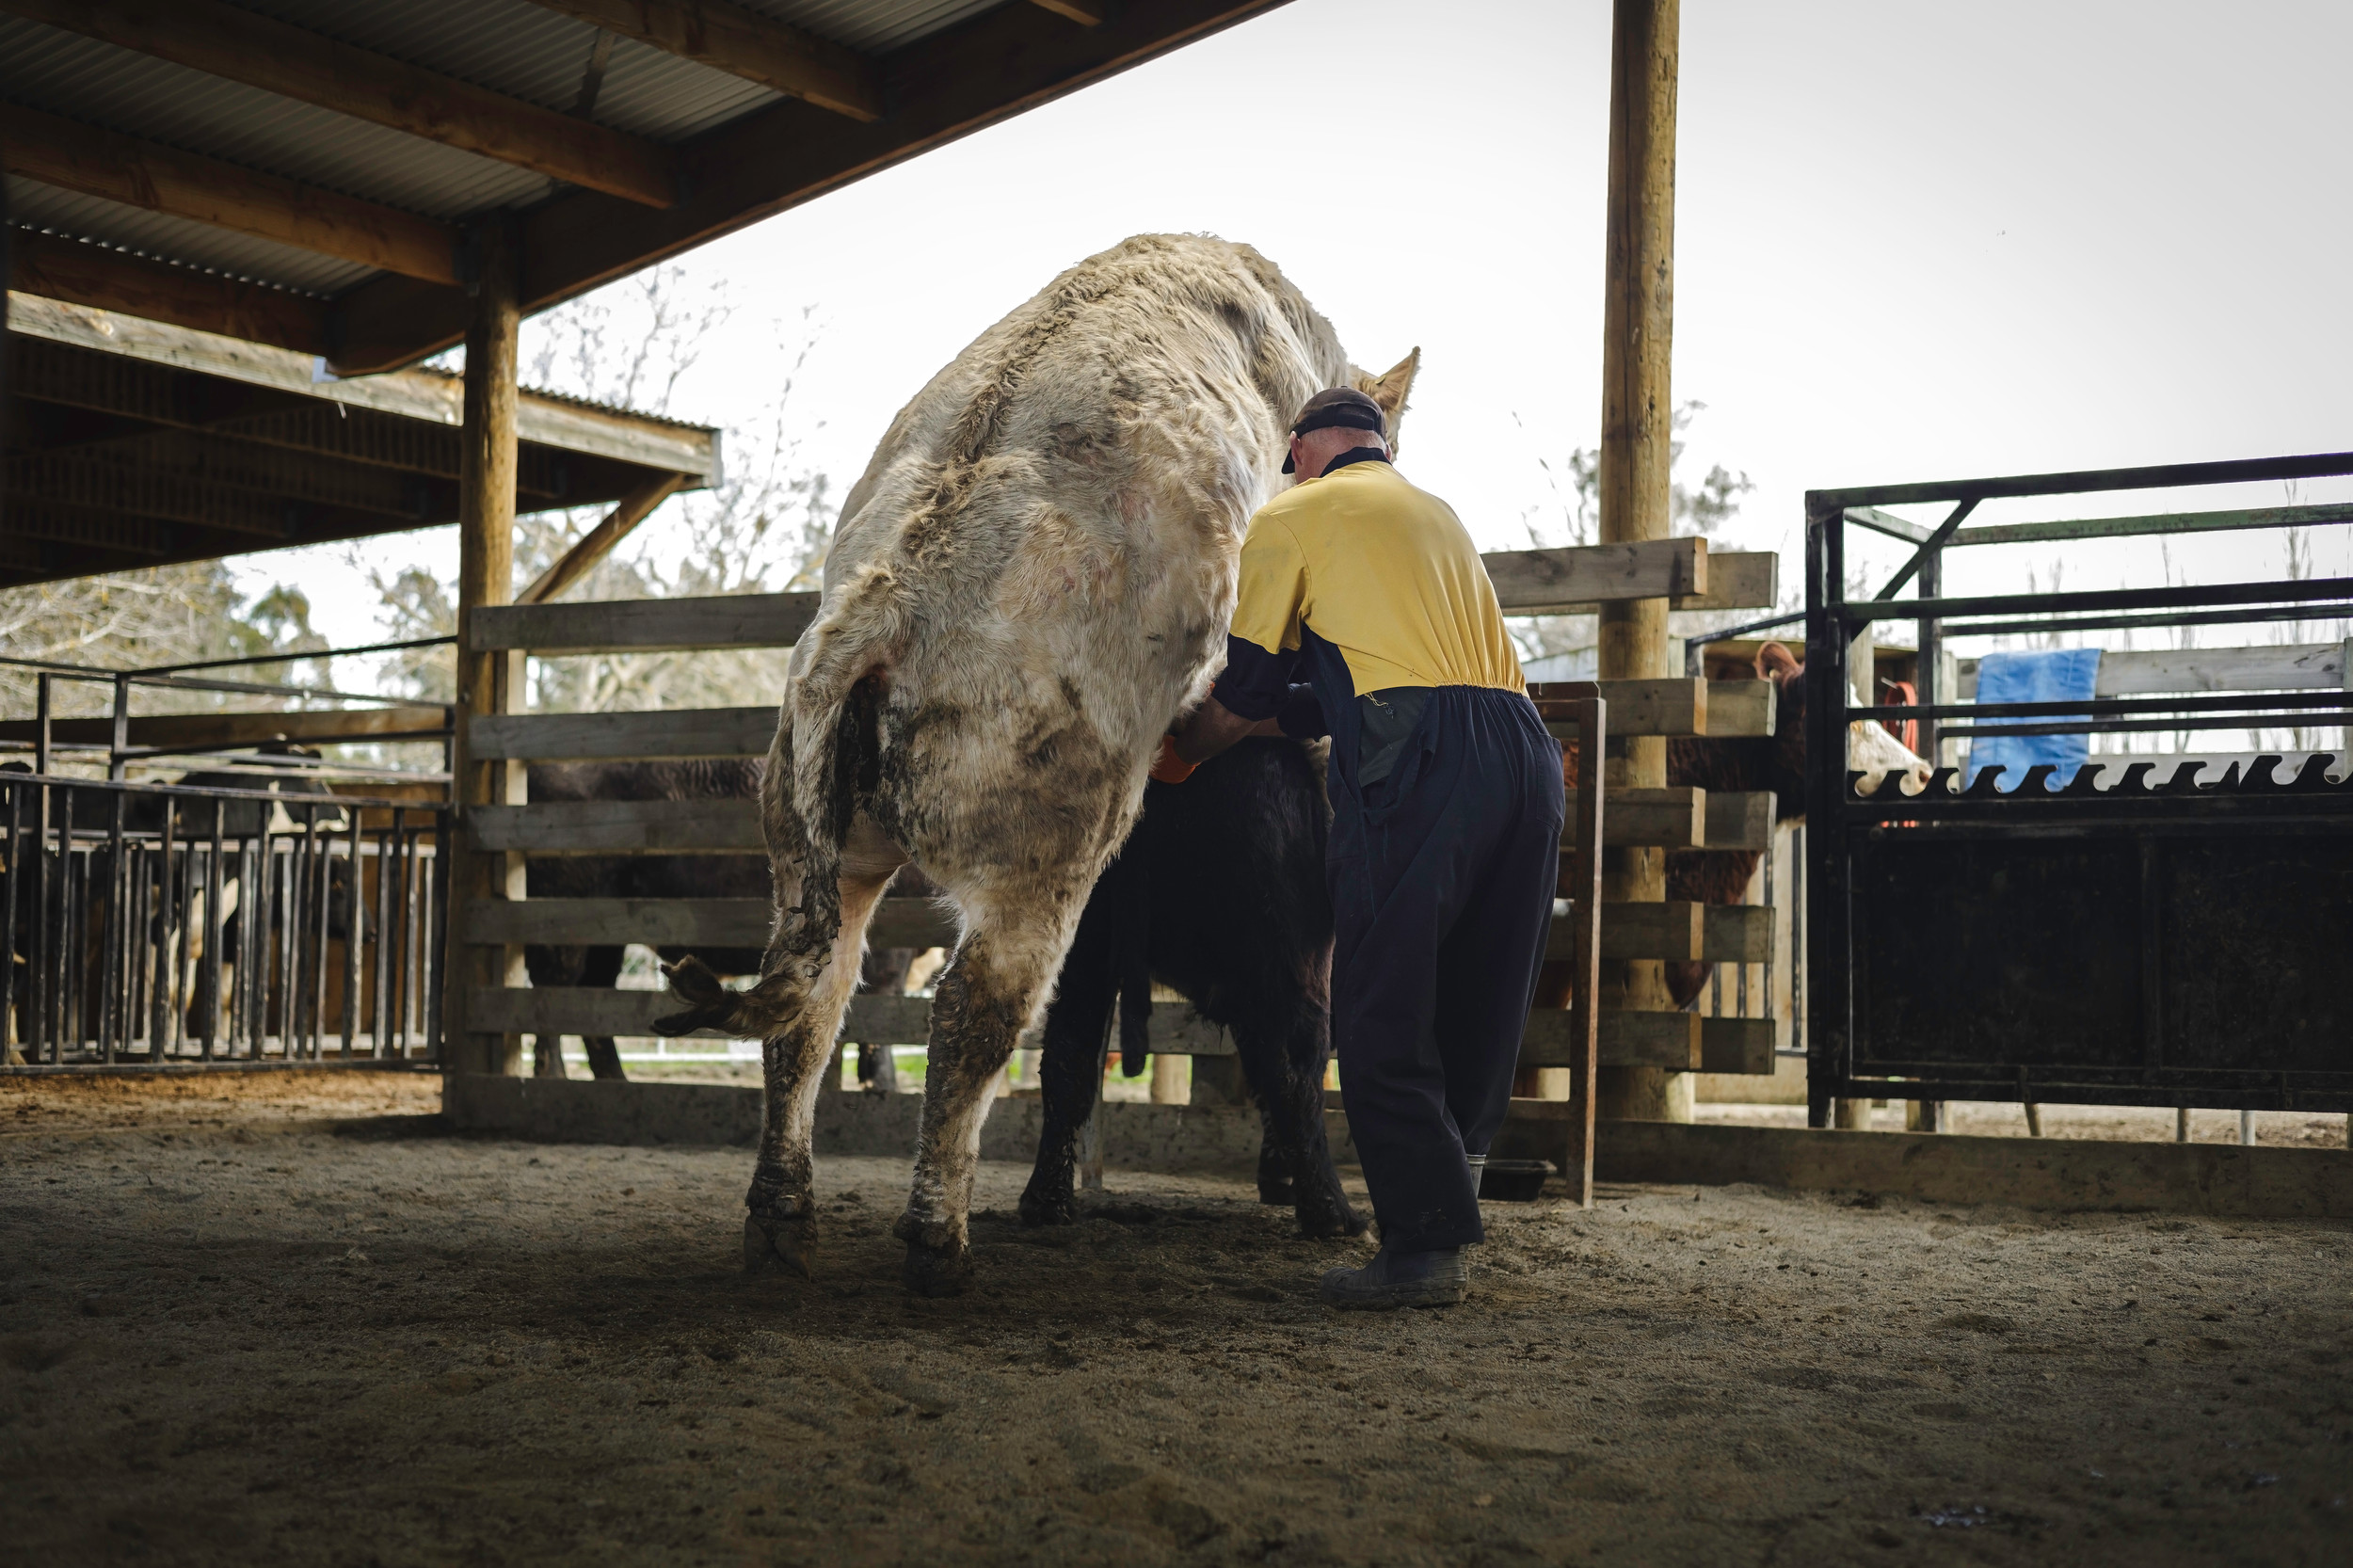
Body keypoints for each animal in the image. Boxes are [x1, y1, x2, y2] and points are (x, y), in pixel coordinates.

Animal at [654, 232, 1417, 1294]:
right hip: (1043, 857)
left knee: (812, 1004)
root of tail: (888, 600)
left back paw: (783, 1215)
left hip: (825, 846)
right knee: (976, 1012)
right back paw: (938, 1239)